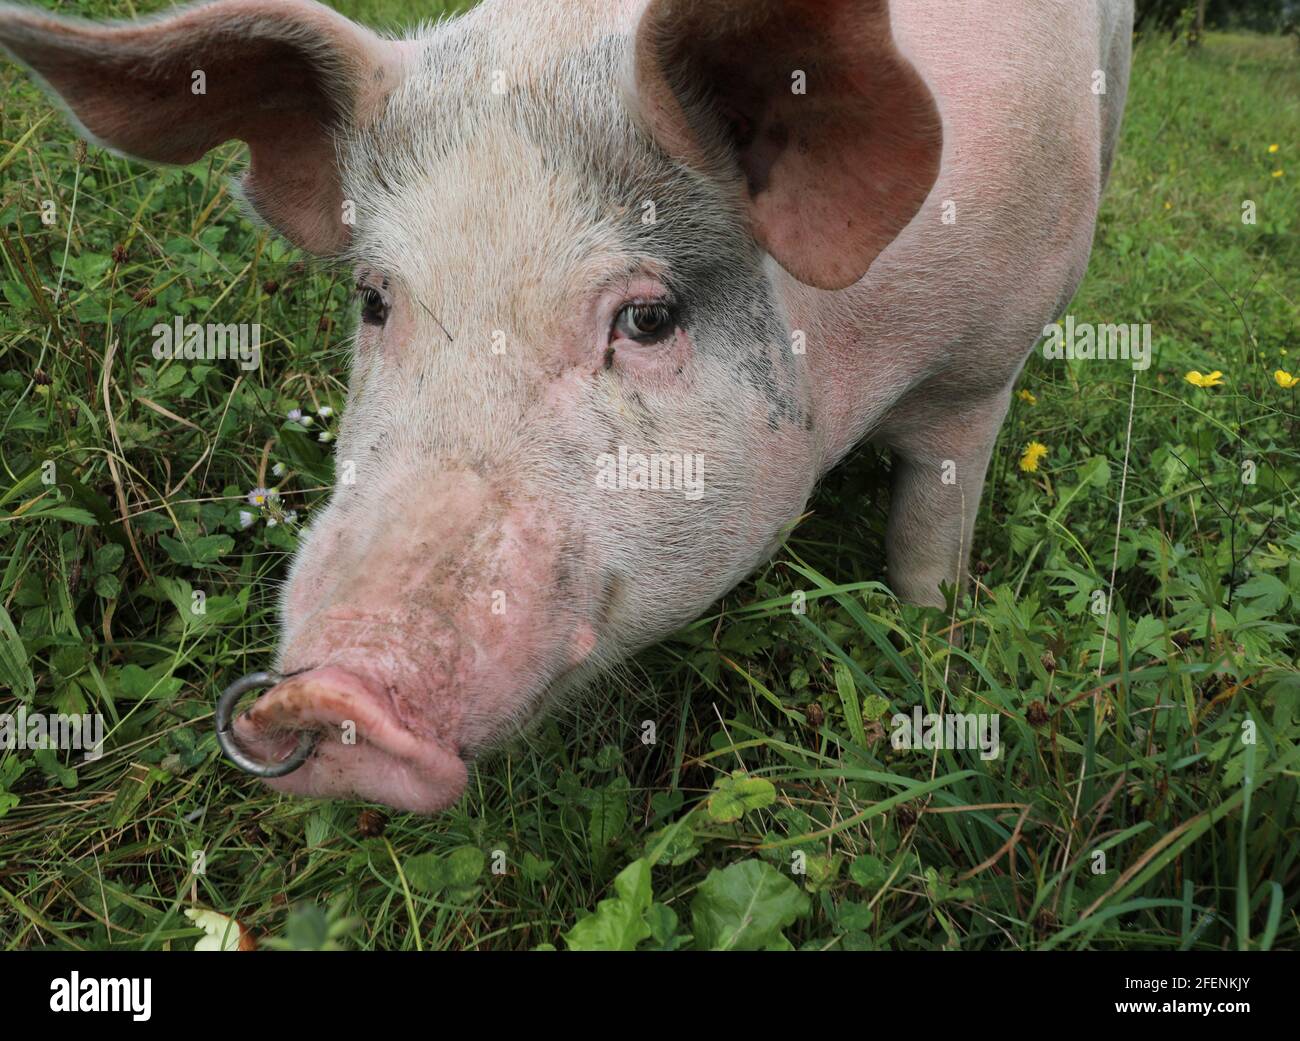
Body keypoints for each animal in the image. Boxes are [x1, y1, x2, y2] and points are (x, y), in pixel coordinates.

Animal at [0, 0, 1133, 813]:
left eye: (647, 317)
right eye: (375, 298)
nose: (327, 691)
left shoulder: (981, 370)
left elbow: (930, 537)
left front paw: (933, 643)